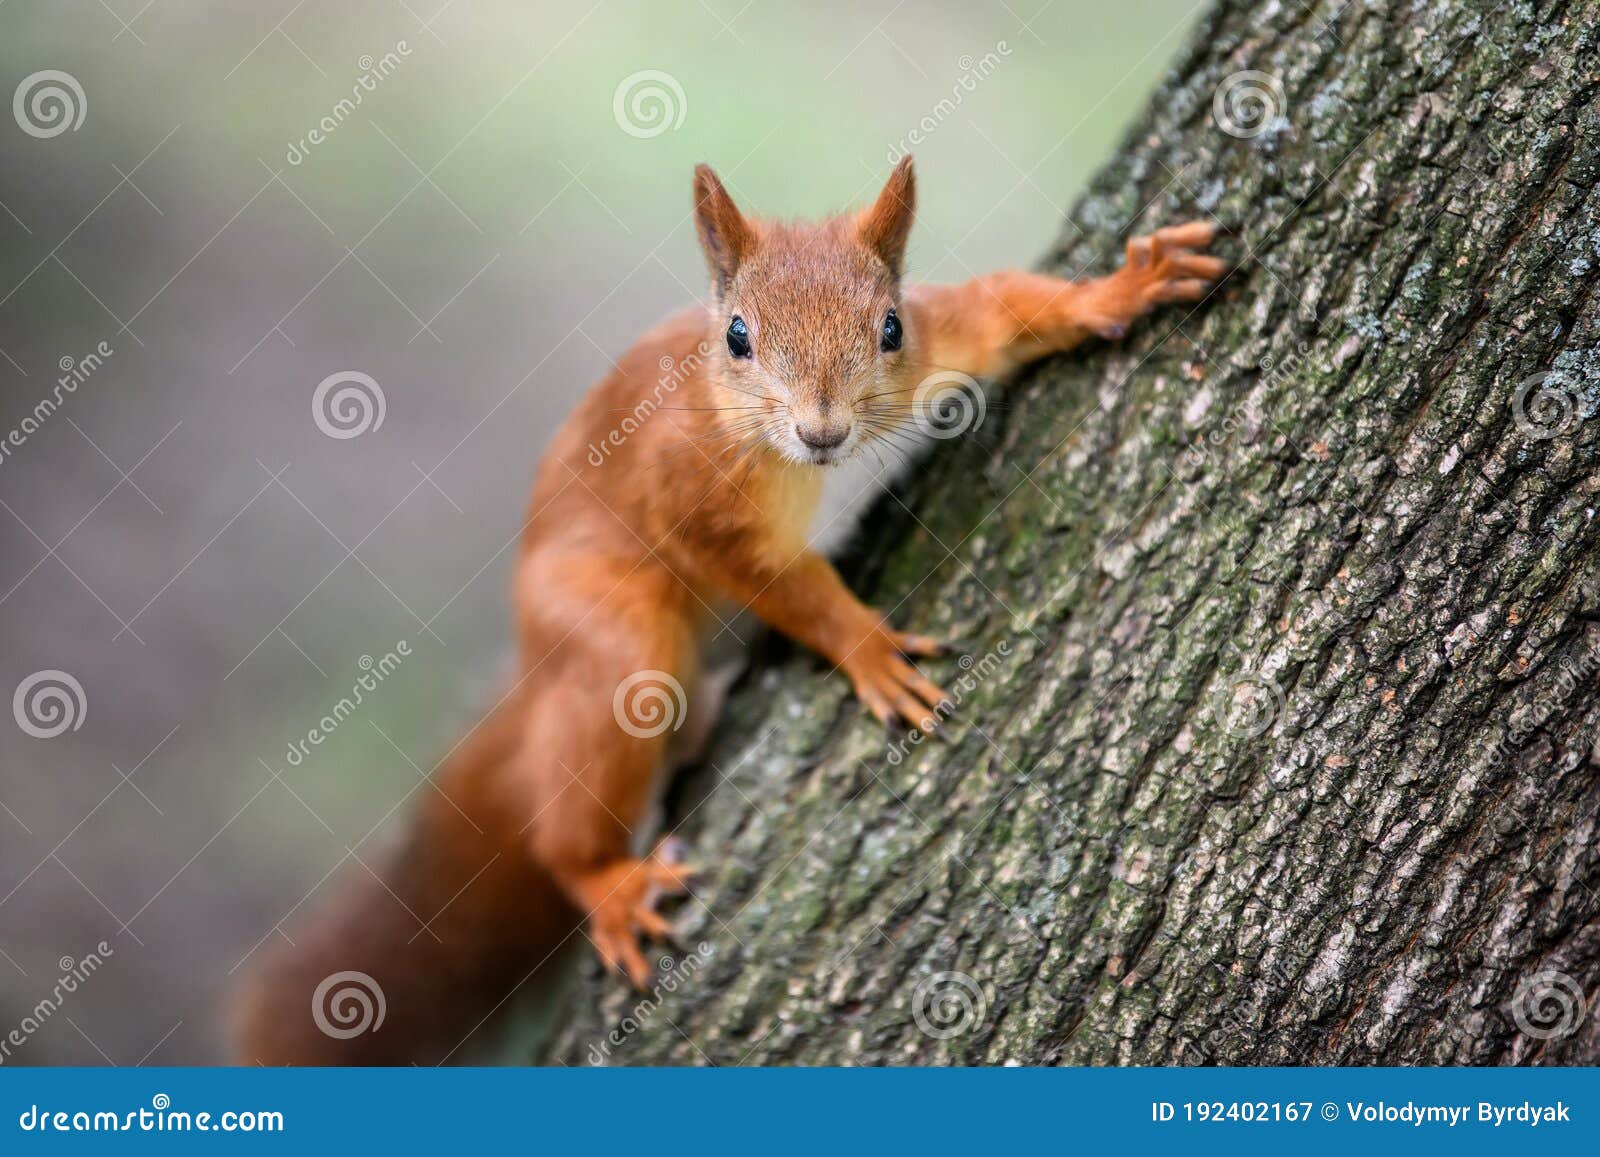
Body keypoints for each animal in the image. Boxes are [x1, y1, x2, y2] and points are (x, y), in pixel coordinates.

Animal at [232, 156, 1225, 1064]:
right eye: (739, 337)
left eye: (889, 326)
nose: (822, 431)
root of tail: (532, 659)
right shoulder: (695, 504)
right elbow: (789, 590)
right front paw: (867, 649)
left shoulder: (942, 344)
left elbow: (1005, 305)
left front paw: (1120, 287)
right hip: (611, 637)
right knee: (570, 818)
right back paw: (606, 882)